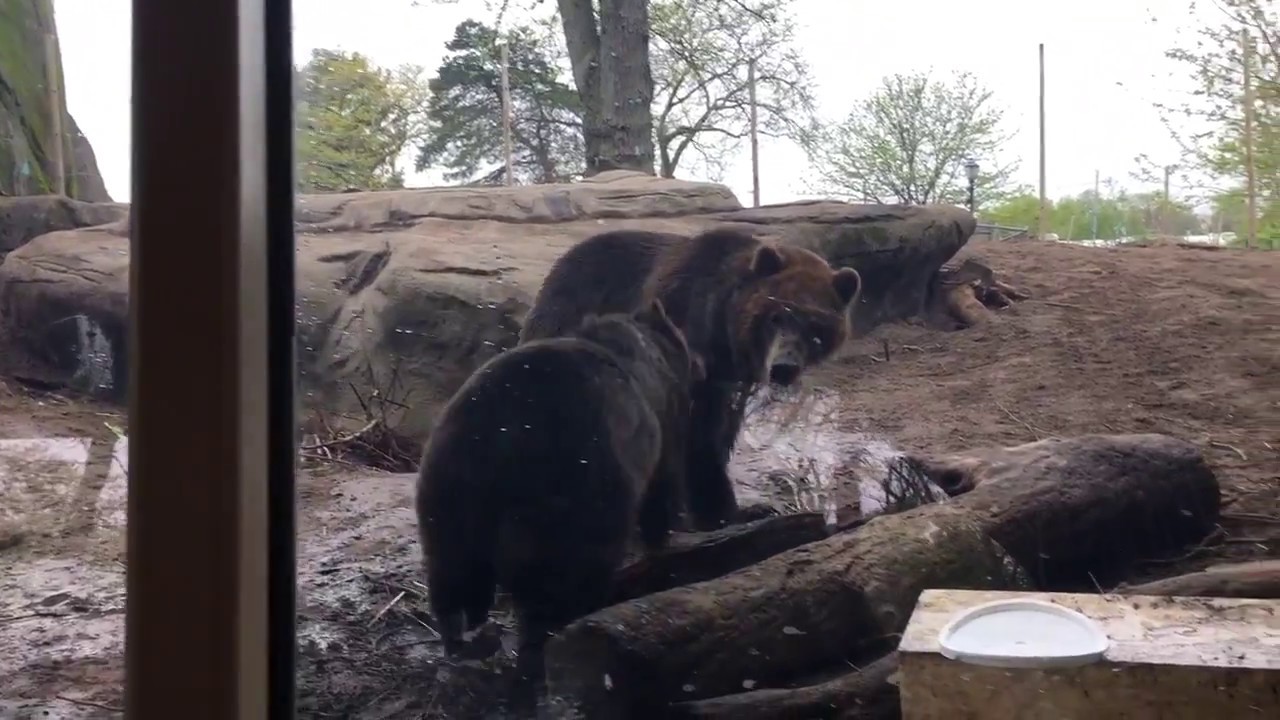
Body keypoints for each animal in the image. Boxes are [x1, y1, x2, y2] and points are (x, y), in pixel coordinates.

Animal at [415, 298, 702, 698]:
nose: (702, 364)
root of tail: (497, 440)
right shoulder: (663, 422)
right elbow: (664, 487)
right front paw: (664, 540)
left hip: (447, 486)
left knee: (452, 574)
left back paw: (463, 642)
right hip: (567, 492)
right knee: (559, 581)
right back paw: (544, 652)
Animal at [519, 227, 862, 531]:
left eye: (815, 325)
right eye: (776, 315)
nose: (783, 366)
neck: (722, 330)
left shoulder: (732, 381)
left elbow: (720, 430)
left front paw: (747, 509)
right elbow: (696, 434)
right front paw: (720, 512)